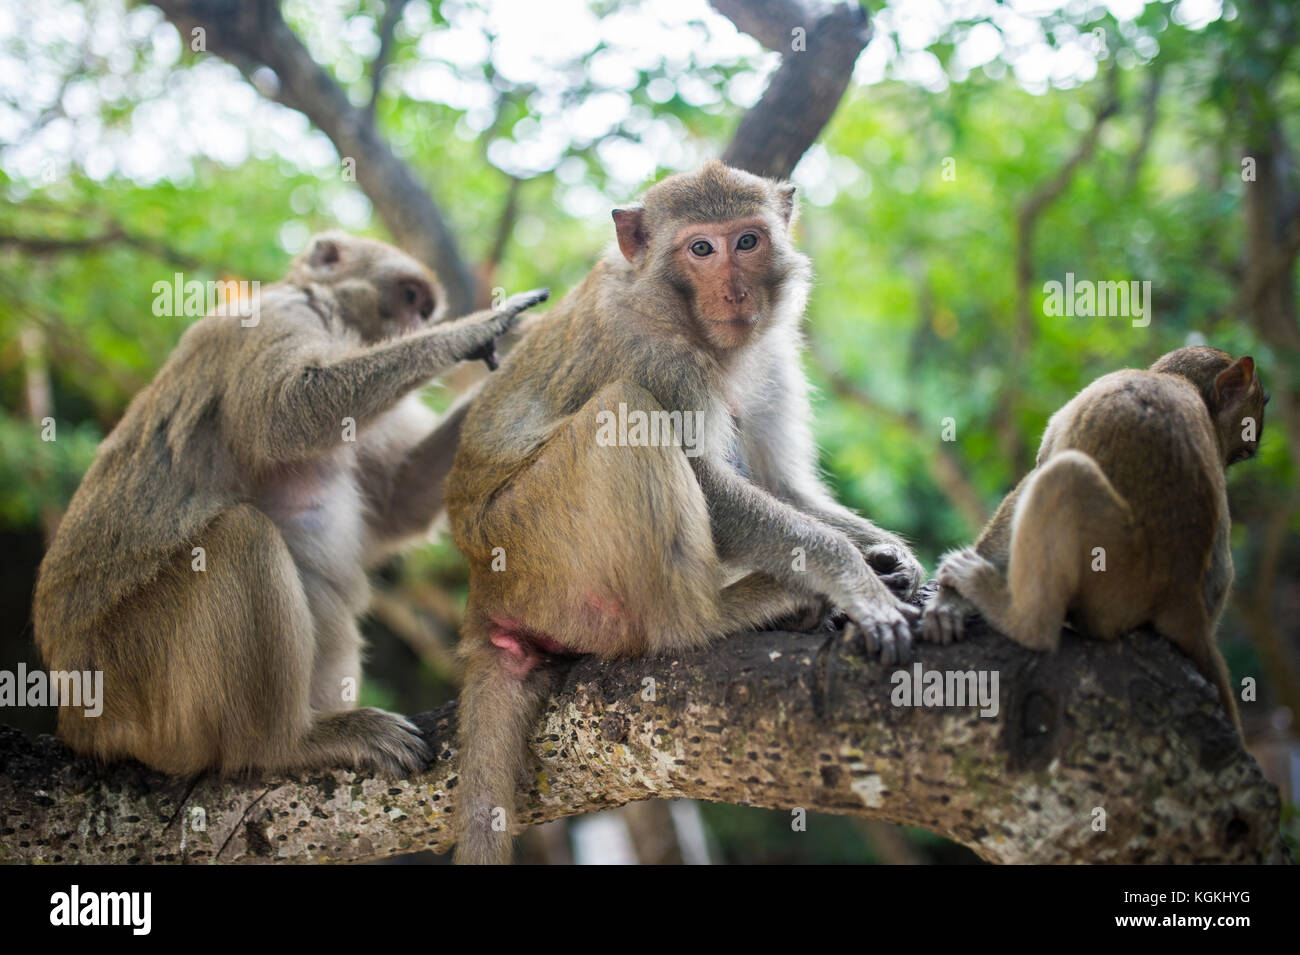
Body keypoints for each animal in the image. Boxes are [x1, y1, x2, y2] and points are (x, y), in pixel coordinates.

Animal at [33, 231, 548, 777]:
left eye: (425, 308)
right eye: (409, 298)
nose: (417, 324)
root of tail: (81, 720)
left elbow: (397, 504)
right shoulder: (275, 315)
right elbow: (286, 413)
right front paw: (483, 327)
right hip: (139, 678)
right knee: (242, 535)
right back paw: (287, 743)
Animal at [444, 161, 926, 864]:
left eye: (747, 241)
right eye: (701, 249)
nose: (734, 293)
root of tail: (482, 594)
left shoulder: (772, 353)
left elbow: (783, 482)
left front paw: (896, 557)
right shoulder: (651, 348)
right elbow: (707, 481)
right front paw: (855, 580)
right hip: (533, 545)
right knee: (624, 410)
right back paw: (716, 615)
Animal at [922, 346, 1267, 735]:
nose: (1243, 449)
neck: (1176, 380)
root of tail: (1179, 588)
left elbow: (1039, 470)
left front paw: (951, 600)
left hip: (1115, 575)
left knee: (1064, 475)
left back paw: (1022, 620)